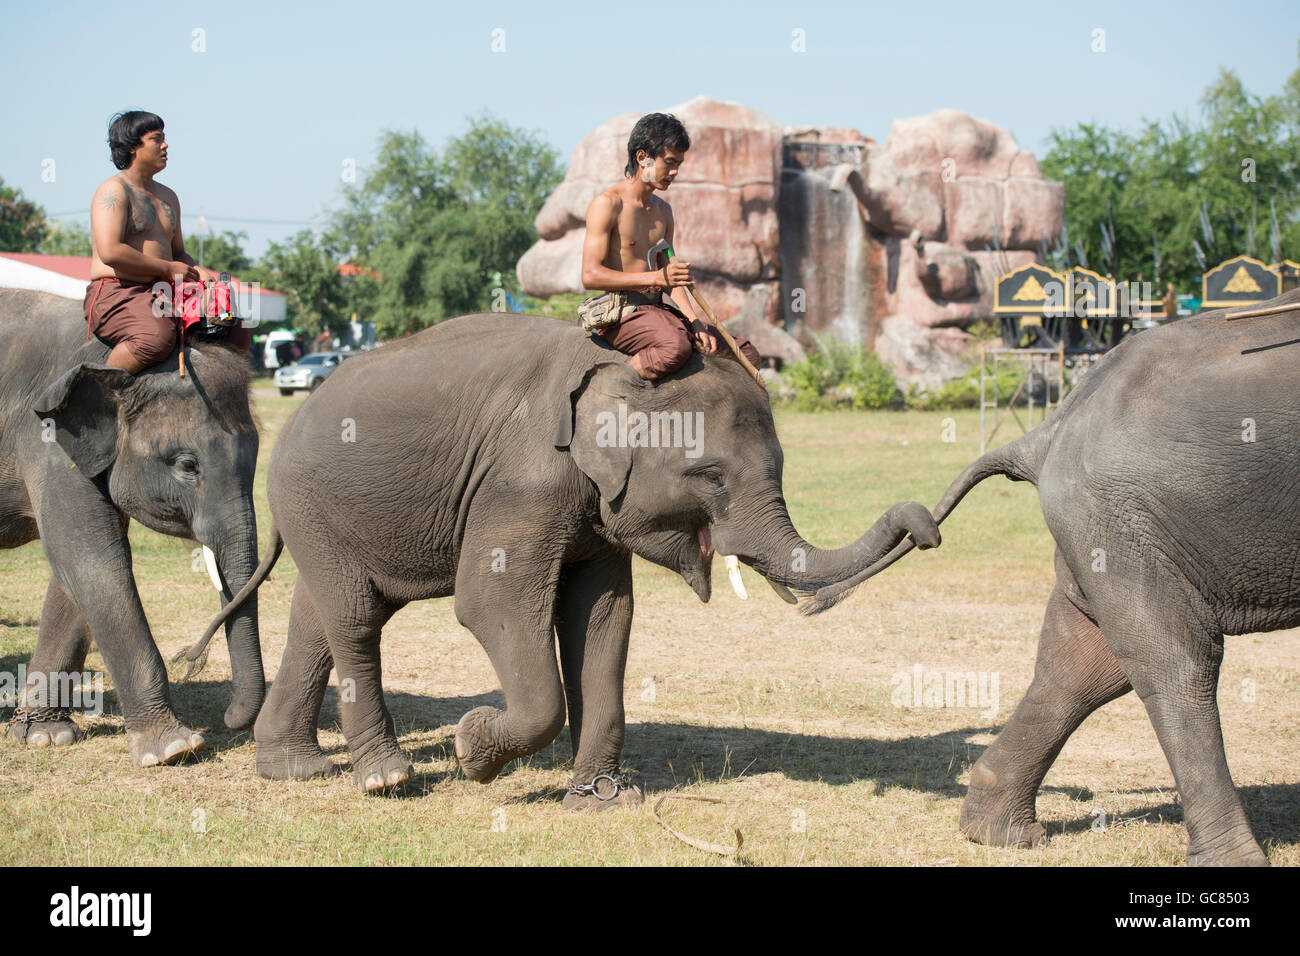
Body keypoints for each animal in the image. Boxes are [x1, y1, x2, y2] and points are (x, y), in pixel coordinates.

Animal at [0, 289, 265, 766]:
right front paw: (173, 748)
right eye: (187, 465)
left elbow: (74, 574)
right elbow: (92, 560)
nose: (233, 719)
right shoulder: (46, 439)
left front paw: (45, 736)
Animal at [190, 312, 939, 806]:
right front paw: (472, 751)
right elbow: (490, 605)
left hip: (325, 516)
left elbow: (603, 618)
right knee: (354, 617)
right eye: (712, 477)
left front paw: (604, 797)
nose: (927, 526)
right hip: (310, 501)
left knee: (319, 616)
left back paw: (294, 770)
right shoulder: (523, 481)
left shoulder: (594, 509)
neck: (624, 374)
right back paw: (385, 778)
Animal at [805, 291, 1300, 865]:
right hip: (1126, 522)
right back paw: (1235, 857)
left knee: (1084, 664)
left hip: (1106, 526)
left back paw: (999, 833)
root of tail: (1052, 427)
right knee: (1175, 659)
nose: (927, 533)